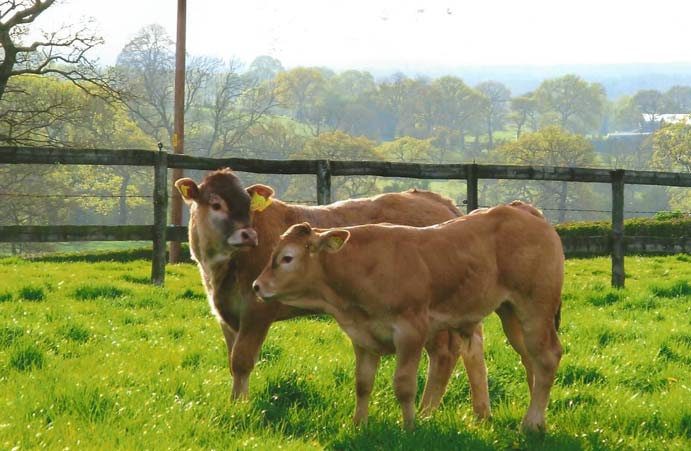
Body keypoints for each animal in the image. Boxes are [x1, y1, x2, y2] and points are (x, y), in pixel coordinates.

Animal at [174, 168, 490, 418]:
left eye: (248, 205)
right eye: (216, 204)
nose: (248, 235)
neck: (222, 269)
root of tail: (438, 201)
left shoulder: (256, 311)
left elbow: (241, 361)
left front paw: (239, 406)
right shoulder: (228, 317)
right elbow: (232, 363)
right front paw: (235, 402)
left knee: (444, 353)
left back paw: (426, 412)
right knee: (465, 349)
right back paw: (470, 413)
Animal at [253, 201, 564, 432]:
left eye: (287, 258)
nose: (257, 286)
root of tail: (521, 210)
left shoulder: (411, 331)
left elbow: (404, 384)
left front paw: (410, 426)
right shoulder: (362, 337)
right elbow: (362, 384)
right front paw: (359, 424)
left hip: (535, 308)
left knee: (547, 357)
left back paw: (531, 423)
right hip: (512, 313)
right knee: (532, 360)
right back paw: (537, 419)